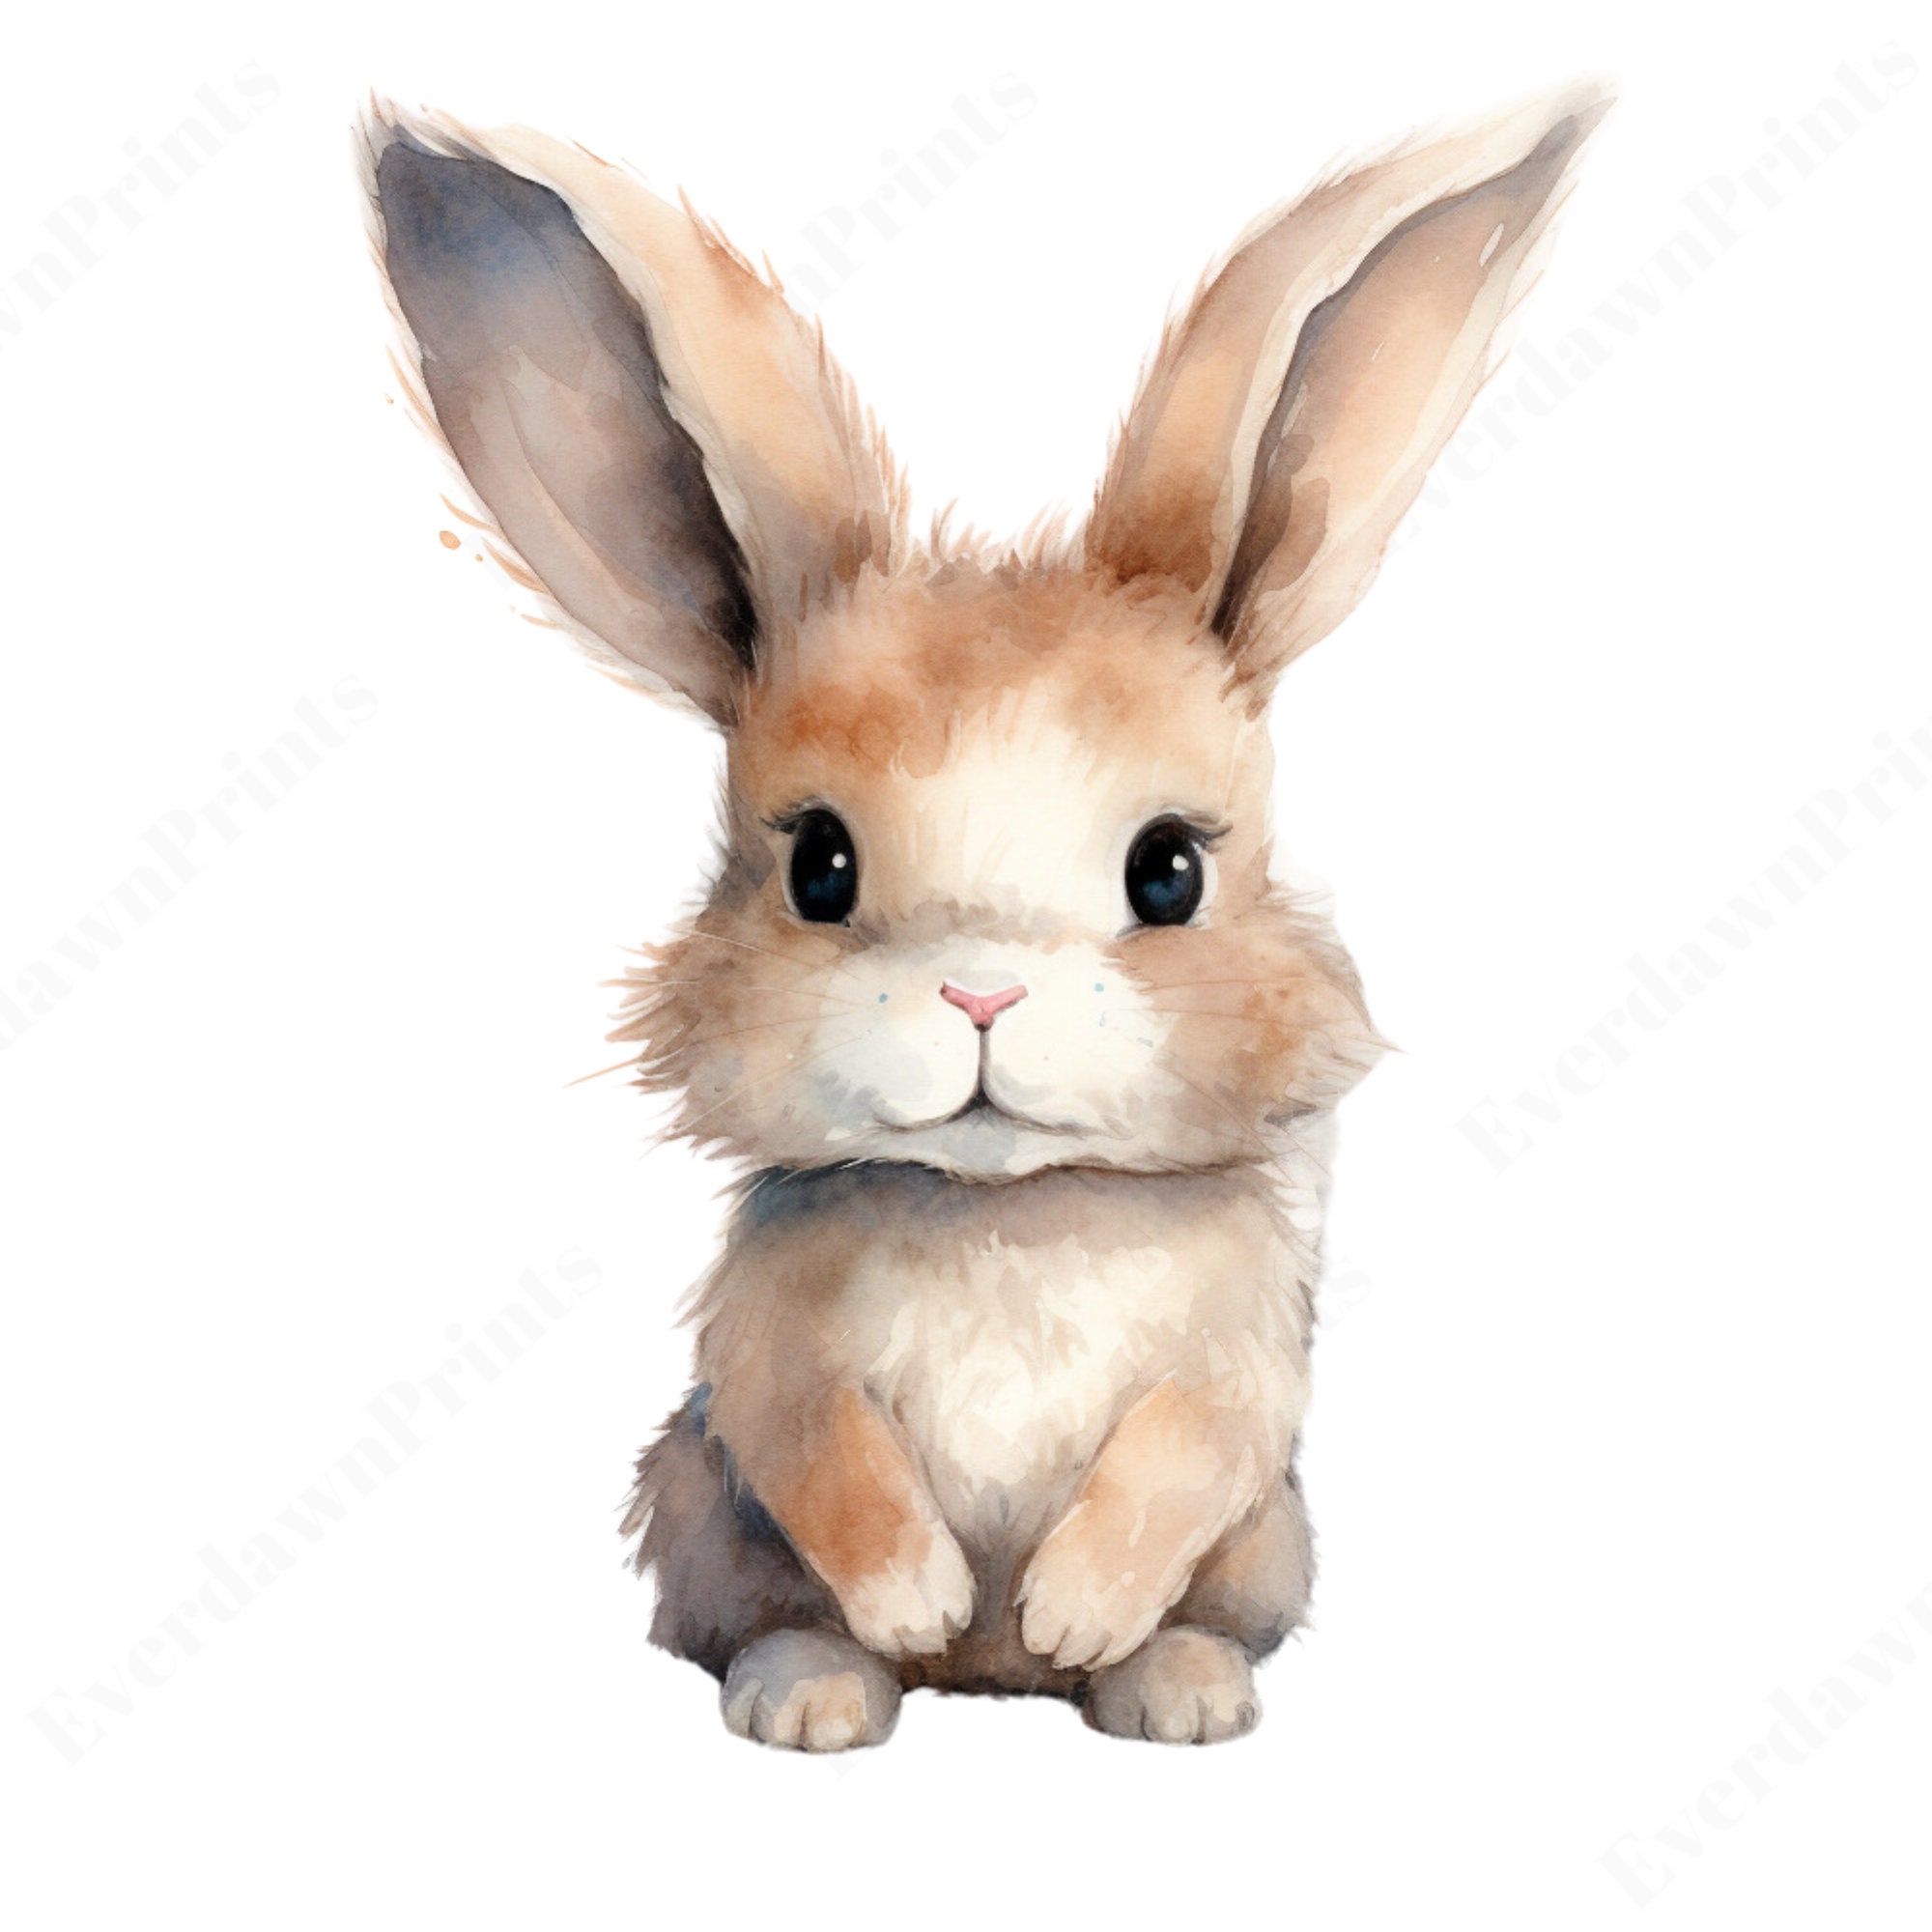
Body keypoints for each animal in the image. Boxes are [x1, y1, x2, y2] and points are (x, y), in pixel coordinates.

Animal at [362, 81, 1608, 1749]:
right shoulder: (765, 1357)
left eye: (1170, 872)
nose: (980, 998)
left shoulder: (1239, 1374)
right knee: (766, 1611)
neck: (1005, 1210)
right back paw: (821, 1692)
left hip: (1266, 1543)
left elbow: (1181, 1452)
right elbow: (819, 1449)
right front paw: (920, 1601)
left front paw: (1075, 1609)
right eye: (820, 868)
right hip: (698, 1512)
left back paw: (1164, 1688)